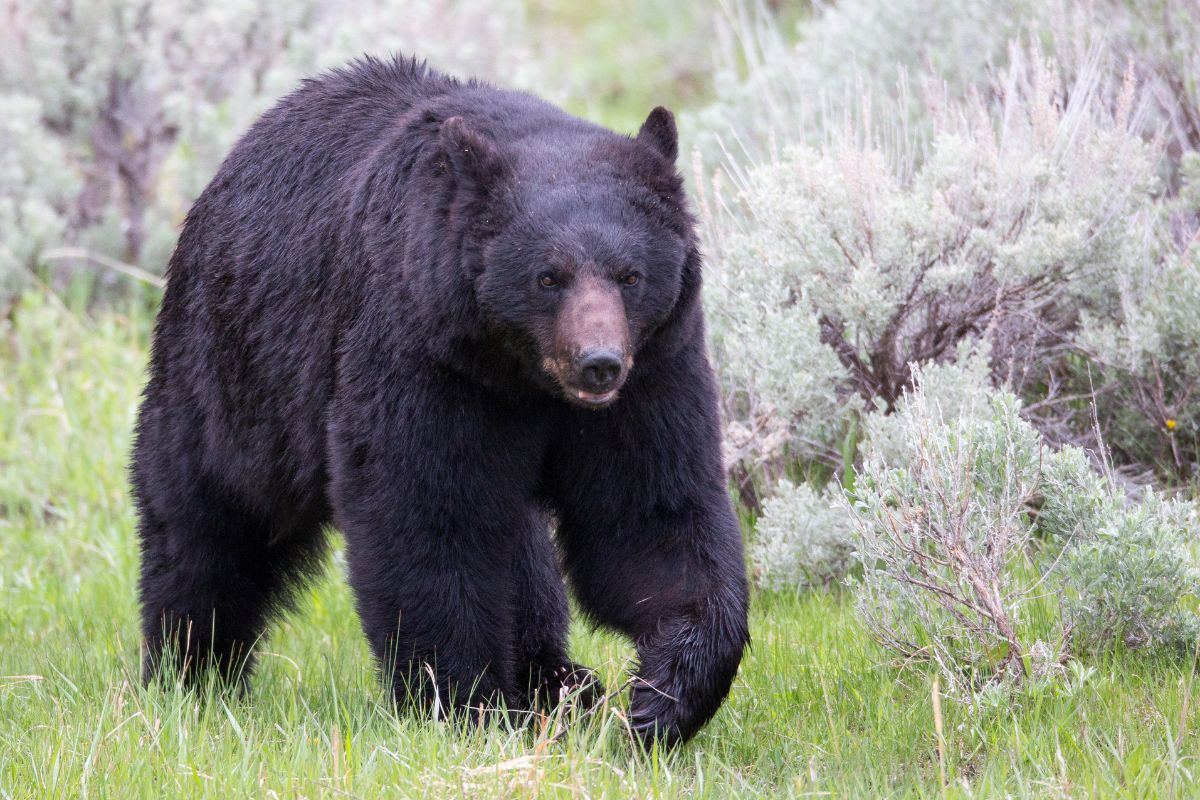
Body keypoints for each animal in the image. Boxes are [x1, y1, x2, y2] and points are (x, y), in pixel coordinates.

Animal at [131, 55, 749, 747]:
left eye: (630, 274)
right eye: (548, 276)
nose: (598, 364)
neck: (521, 376)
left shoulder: (655, 370)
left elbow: (648, 514)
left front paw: (663, 698)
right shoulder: (422, 354)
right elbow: (426, 514)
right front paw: (465, 703)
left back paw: (559, 681)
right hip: (238, 368)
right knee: (208, 516)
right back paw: (191, 670)